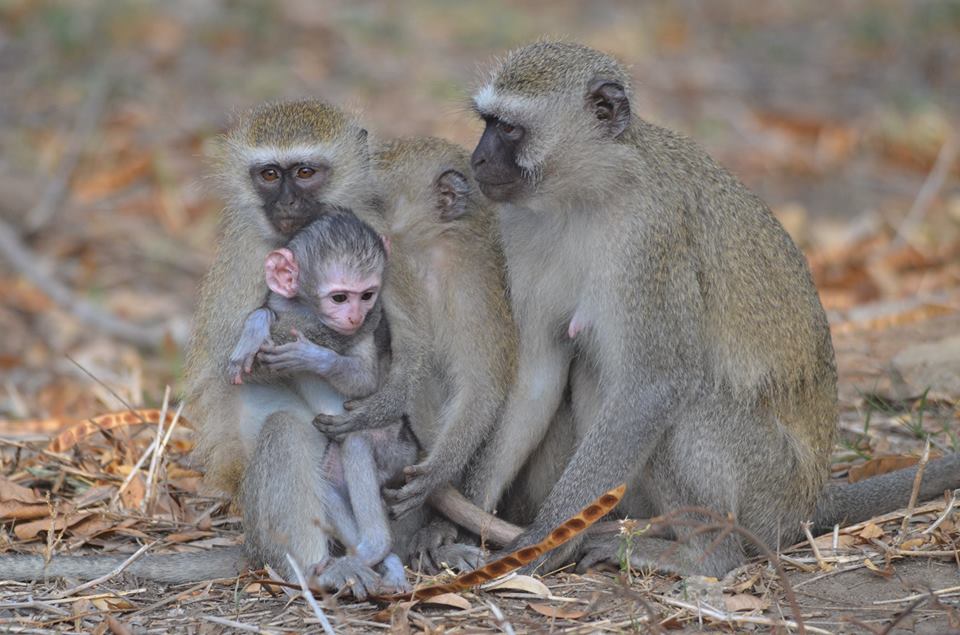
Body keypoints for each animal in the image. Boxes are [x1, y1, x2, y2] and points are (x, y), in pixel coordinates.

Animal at [314, 137, 519, 572]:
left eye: (375, 200)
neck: (432, 253)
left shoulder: (474, 288)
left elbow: (481, 386)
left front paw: (435, 471)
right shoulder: (397, 271)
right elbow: (413, 351)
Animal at [463, 41, 960, 577]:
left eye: (509, 129)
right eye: (488, 122)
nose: (477, 158)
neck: (587, 192)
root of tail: (809, 502)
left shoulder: (652, 239)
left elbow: (653, 388)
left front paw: (542, 541)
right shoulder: (518, 230)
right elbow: (536, 377)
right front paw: (455, 521)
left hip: (767, 486)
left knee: (682, 399)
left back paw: (705, 557)